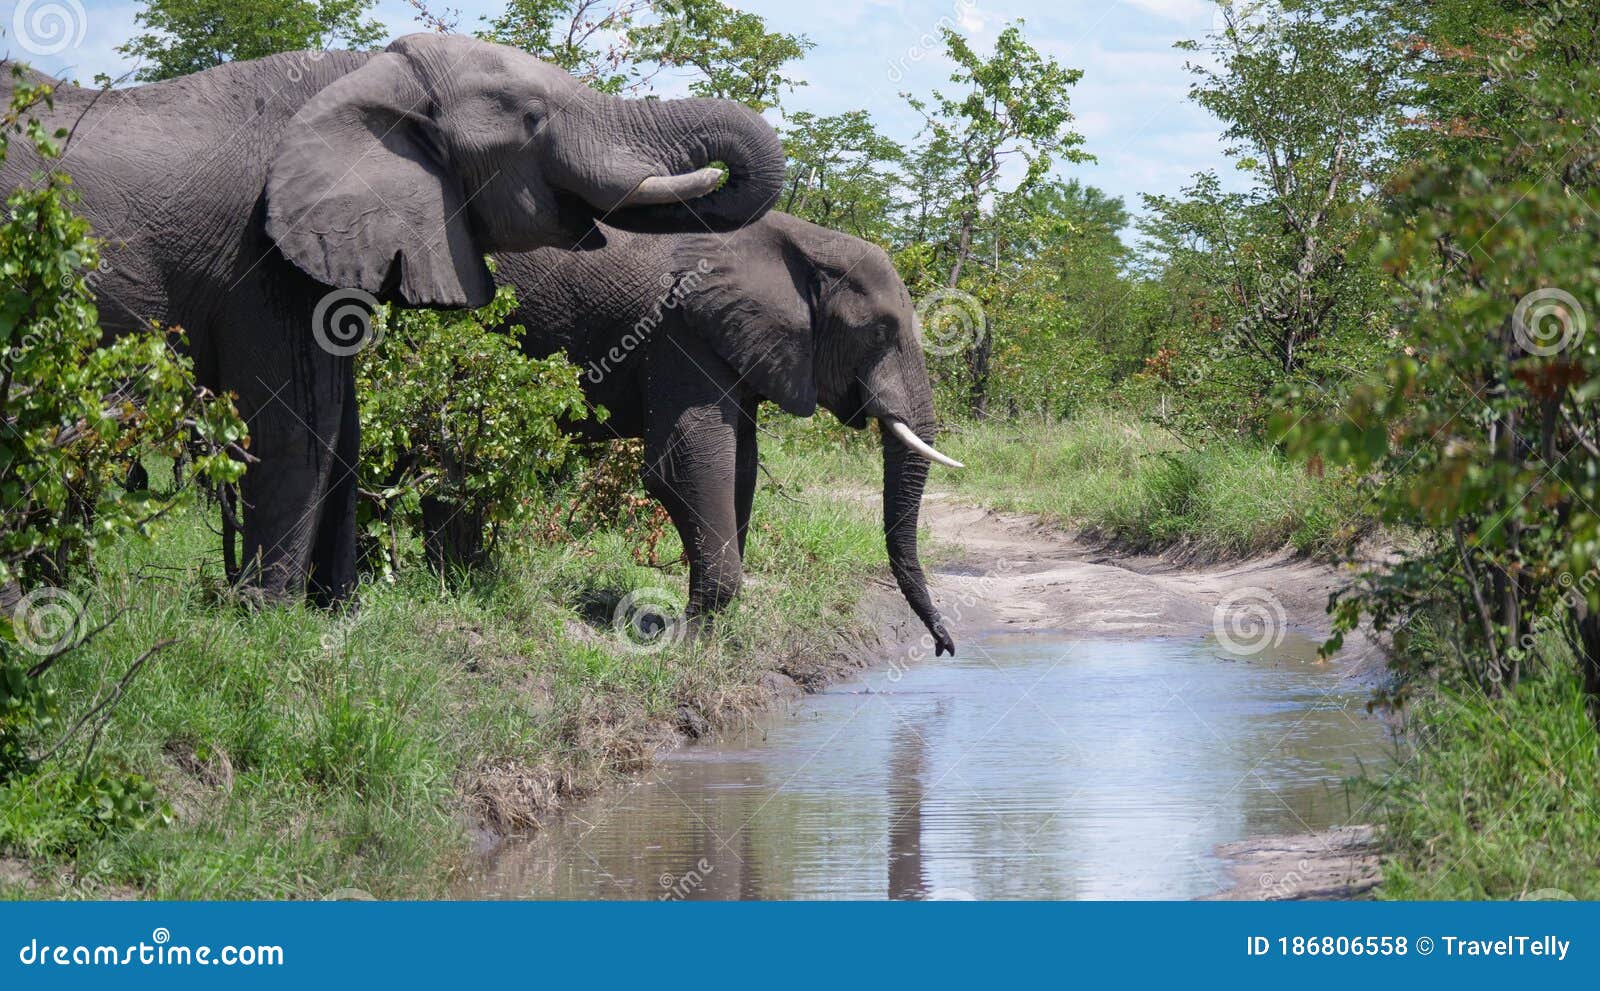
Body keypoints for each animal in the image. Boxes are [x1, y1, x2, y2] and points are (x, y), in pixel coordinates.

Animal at [0, 34, 784, 603]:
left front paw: (337, 610)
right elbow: (297, 426)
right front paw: (265, 618)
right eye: (532, 119)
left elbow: (343, 428)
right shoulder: (262, 255)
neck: (367, 75)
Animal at [494, 212, 961, 655]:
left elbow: (742, 466)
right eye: (879, 331)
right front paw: (684, 640)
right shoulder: (678, 329)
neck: (804, 241)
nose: (945, 648)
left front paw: (712, 632)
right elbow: (684, 467)